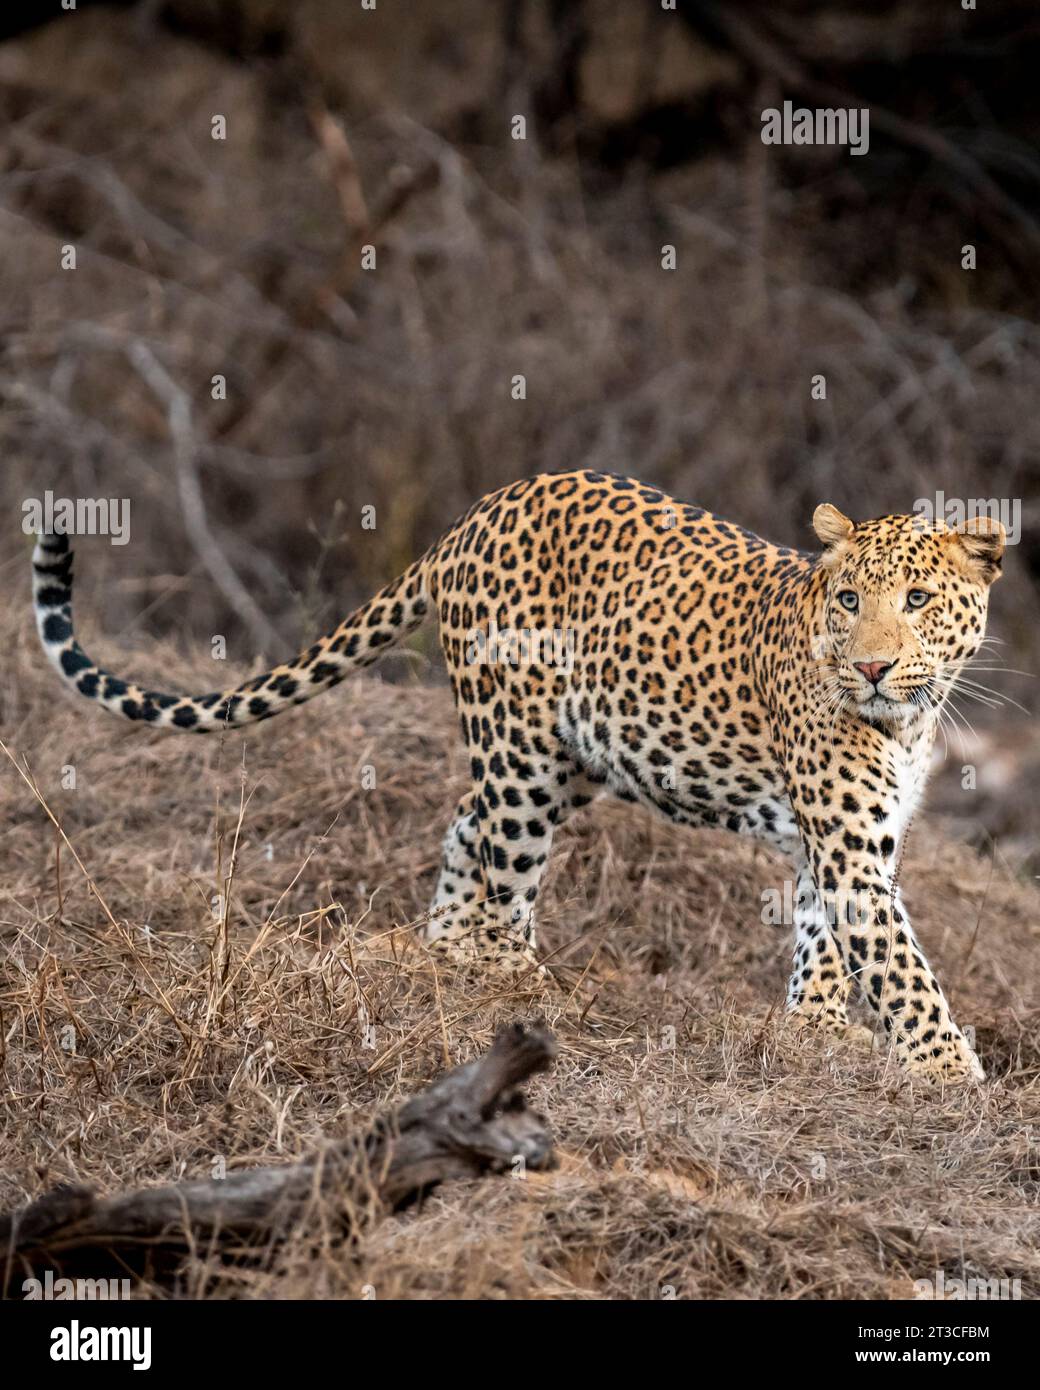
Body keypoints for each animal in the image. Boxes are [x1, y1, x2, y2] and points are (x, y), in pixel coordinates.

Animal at [32, 472, 1001, 1078]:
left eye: (917, 601)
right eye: (850, 601)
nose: (871, 666)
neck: (910, 716)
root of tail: (478, 512)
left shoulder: (848, 837)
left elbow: (828, 943)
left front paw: (817, 1033)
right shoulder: (847, 844)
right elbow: (900, 964)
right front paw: (952, 1075)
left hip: (571, 754)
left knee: (468, 829)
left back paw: (450, 954)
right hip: (523, 745)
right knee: (507, 874)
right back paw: (529, 987)